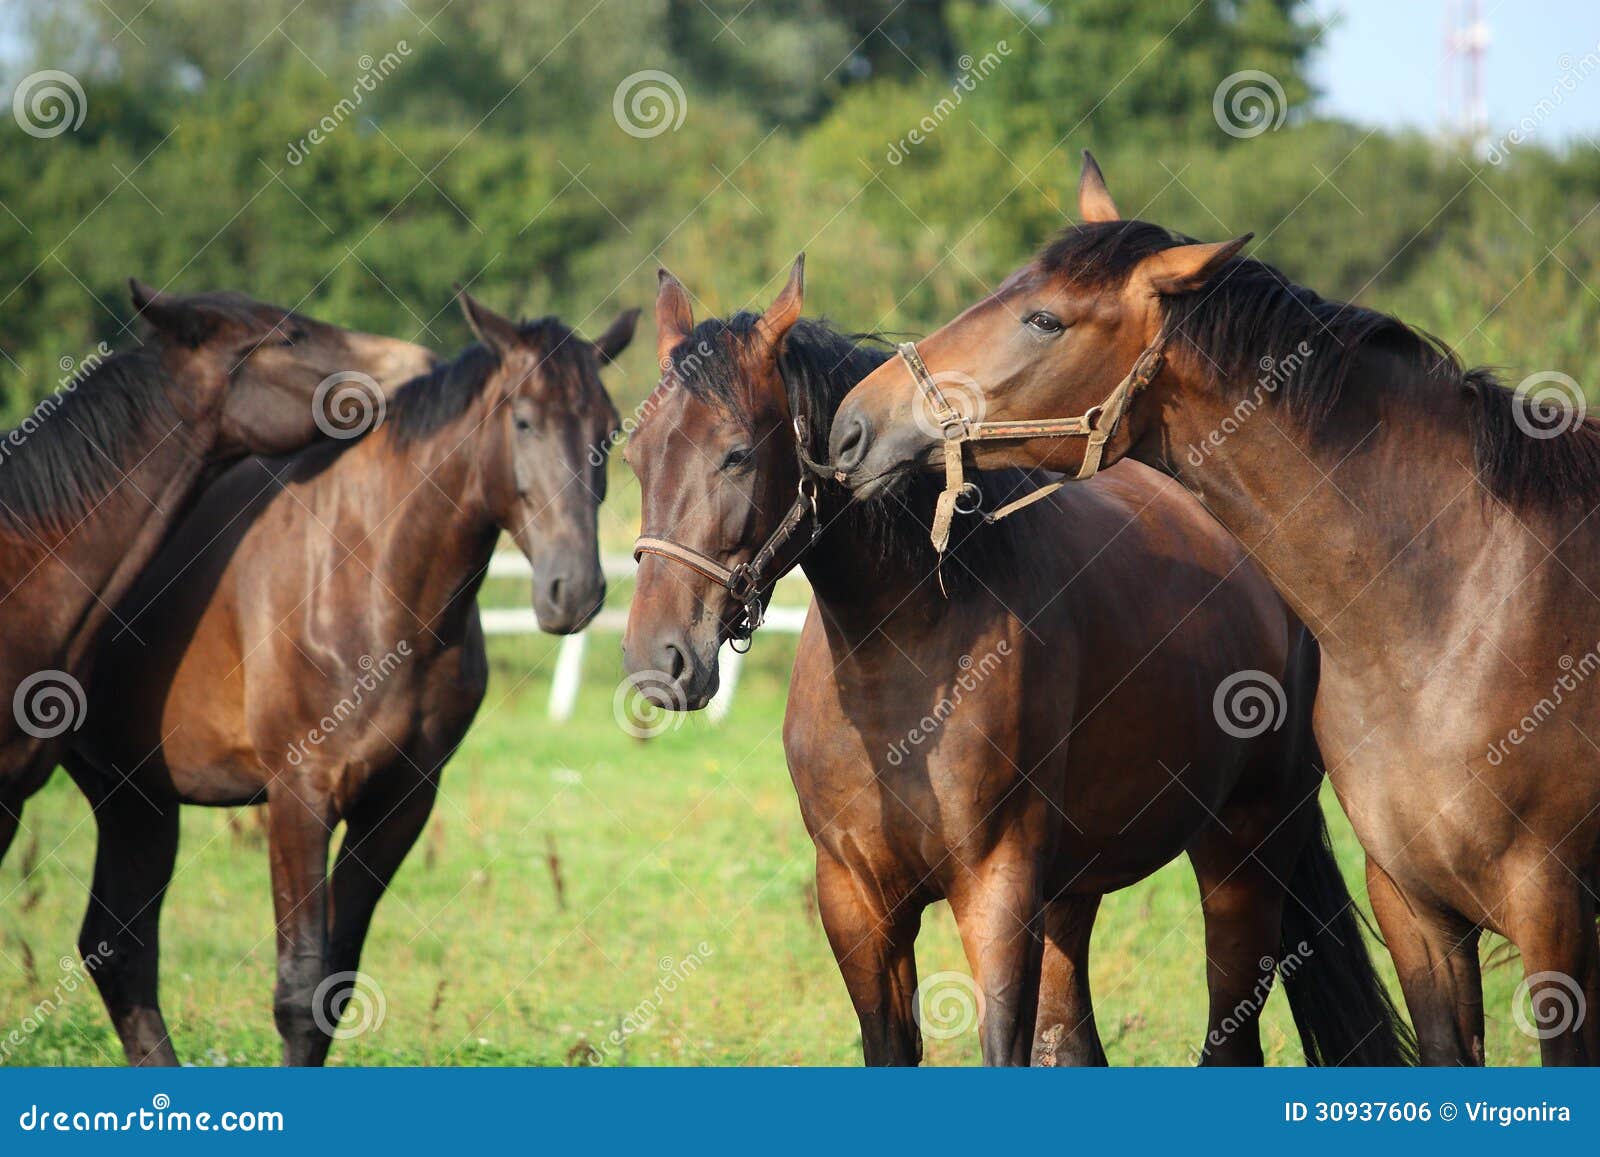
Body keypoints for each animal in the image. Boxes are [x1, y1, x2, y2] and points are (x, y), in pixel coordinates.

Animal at [60, 292, 634, 1066]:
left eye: (610, 429)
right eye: (523, 420)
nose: (573, 592)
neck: (368, 577)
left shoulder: (399, 803)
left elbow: (335, 987)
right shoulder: (298, 798)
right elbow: (300, 993)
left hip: (134, 797)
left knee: (117, 948)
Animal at [621, 259, 1412, 1066]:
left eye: (738, 454)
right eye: (634, 454)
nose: (659, 658)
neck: (903, 653)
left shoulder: (997, 893)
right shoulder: (855, 900)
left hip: (1243, 856)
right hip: (1075, 891)